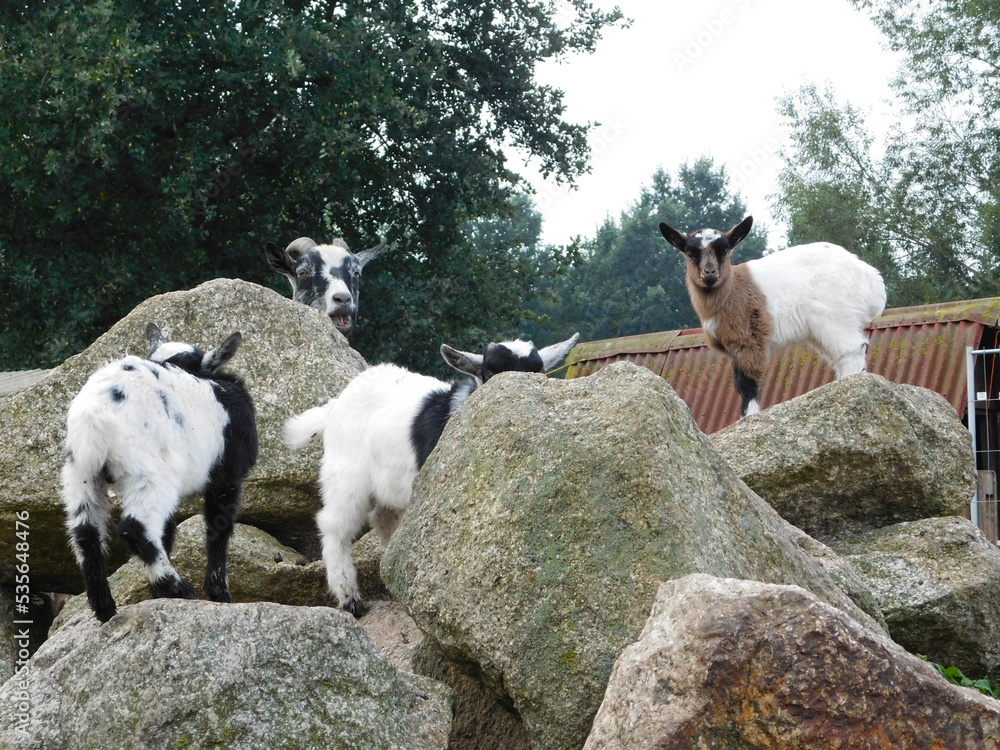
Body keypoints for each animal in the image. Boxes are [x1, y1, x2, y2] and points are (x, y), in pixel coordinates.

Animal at [60, 323, 258, 622]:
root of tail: (94, 415)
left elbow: (169, 531)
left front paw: (158, 595)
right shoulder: (227, 476)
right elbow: (219, 528)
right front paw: (219, 593)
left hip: (80, 473)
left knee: (86, 534)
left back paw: (105, 609)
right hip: (150, 470)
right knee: (134, 528)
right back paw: (179, 587)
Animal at [283, 333, 580, 616]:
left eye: (539, 372)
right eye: (490, 372)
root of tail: (333, 406)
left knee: (382, 517)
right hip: (347, 474)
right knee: (335, 526)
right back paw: (350, 598)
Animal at [659, 216, 886, 417]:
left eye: (724, 251)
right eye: (690, 253)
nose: (710, 272)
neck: (733, 289)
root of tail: (870, 279)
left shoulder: (751, 339)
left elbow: (747, 383)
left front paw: (749, 417)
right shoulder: (734, 348)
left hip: (835, 315)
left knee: (851, 350)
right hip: (821, 329)